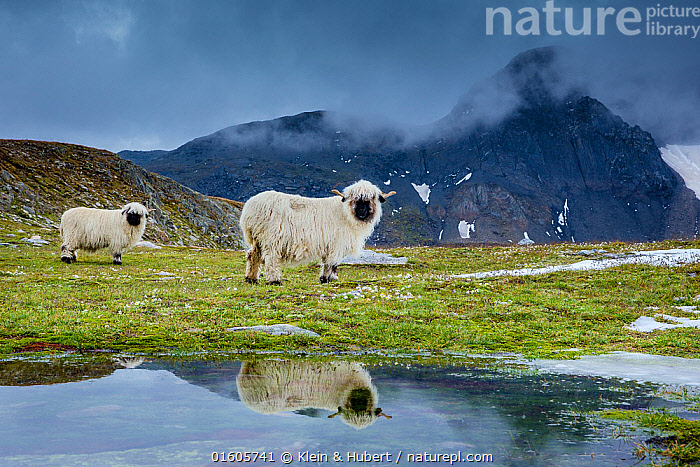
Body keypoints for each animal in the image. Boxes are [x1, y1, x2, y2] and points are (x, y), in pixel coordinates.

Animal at [239, 180, 395, 284]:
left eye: (371, 199)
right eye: (355, 199)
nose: (362, 211)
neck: (346, 213)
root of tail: (249, 209)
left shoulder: (328, 245)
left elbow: (326, 263)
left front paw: (324, 278)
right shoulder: (336, 244)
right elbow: (333, 263)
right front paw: (332, 278)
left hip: (257, 238)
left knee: (252, 255)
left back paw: (251, 278)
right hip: (271, 238)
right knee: (270, 259)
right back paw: (274, 280)